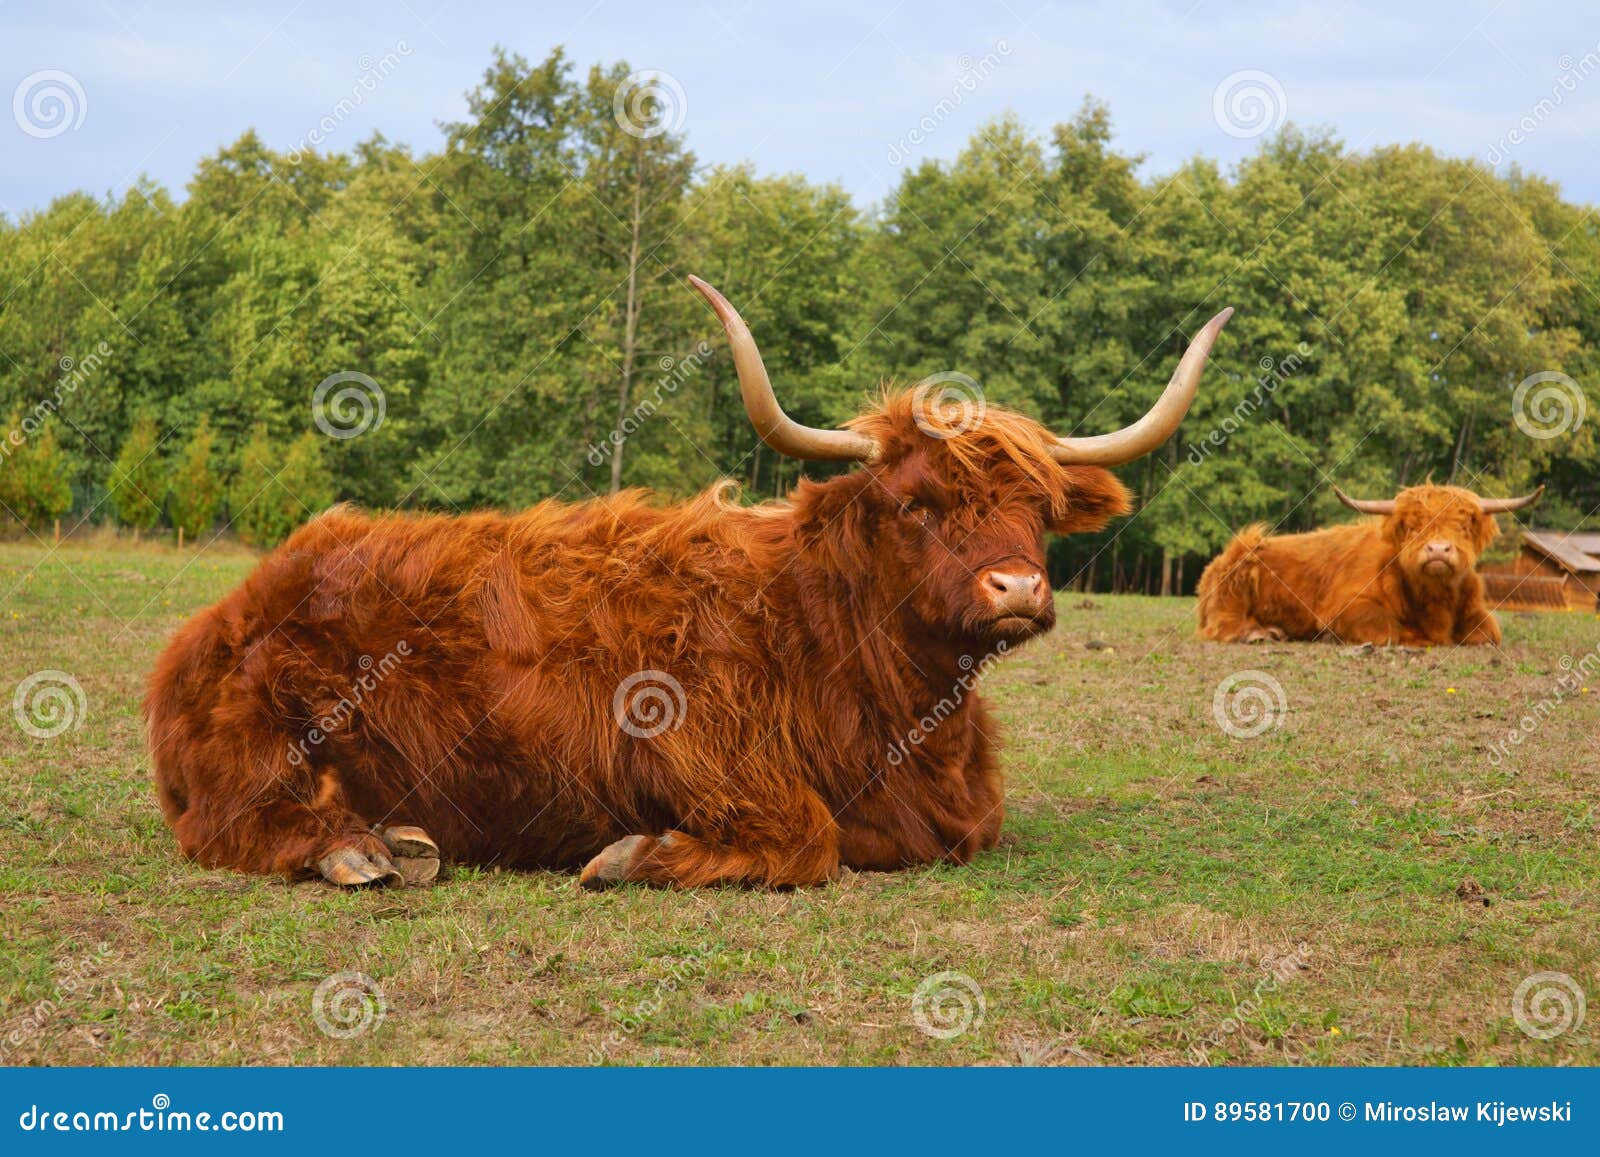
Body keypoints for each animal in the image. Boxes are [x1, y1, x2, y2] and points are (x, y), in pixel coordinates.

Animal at [146, 278, 1233, 890]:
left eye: (1038, 506)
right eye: (915, 504)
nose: (1014, 587)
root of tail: (224, 614)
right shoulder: (692, 743)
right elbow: (807, 839)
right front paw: (633, 856)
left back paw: (404, 840)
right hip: (261, 744)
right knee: (233, 823)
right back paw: (361, 849)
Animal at [1195, 482, 1543, 647]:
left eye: (1464, 524)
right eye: (1411, 525)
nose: (1438, 549)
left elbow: (1488, 632)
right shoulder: (1346, 606)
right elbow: (1384, 629)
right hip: (1234, 581)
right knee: (1221, 625)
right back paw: (1259, 634)